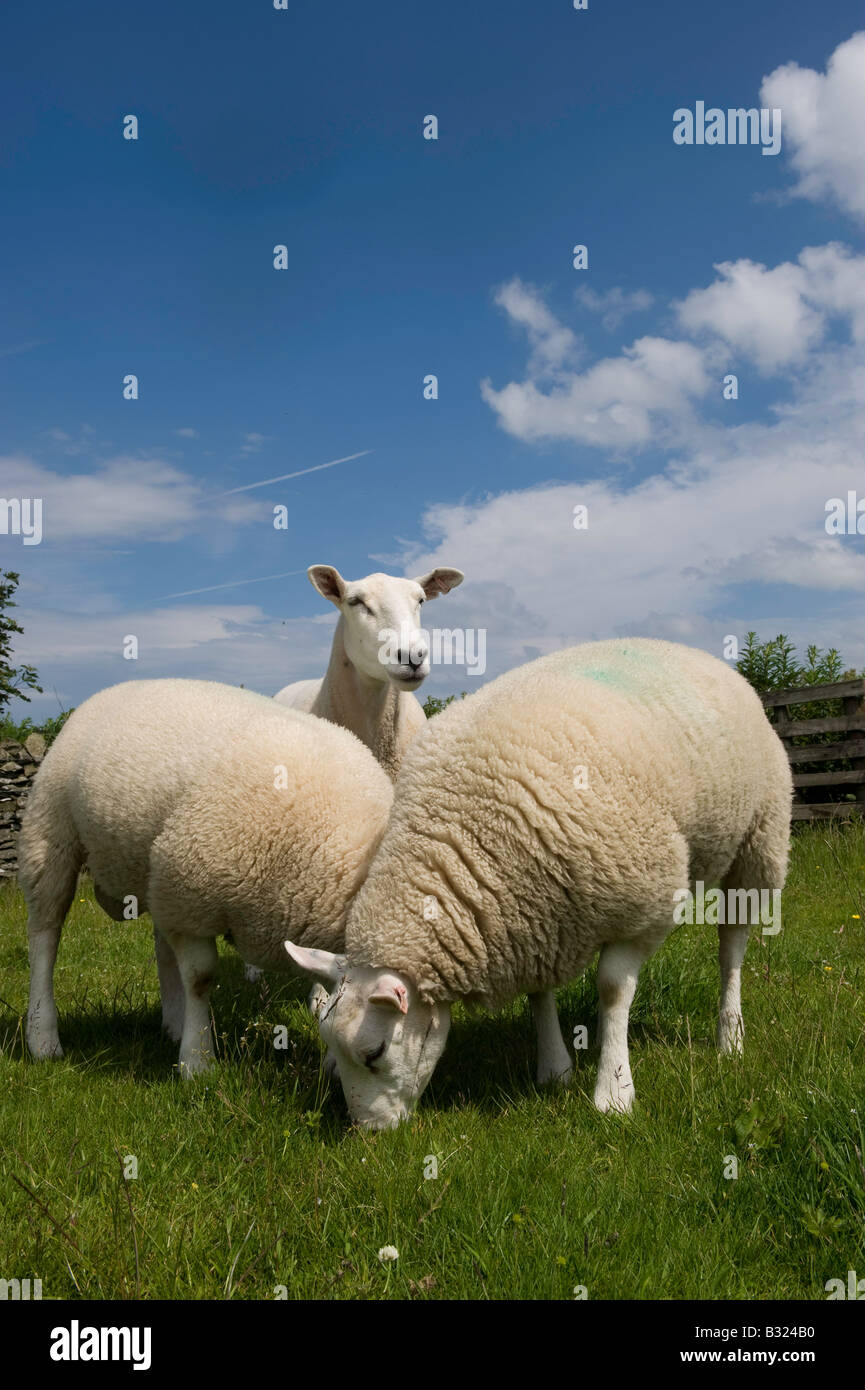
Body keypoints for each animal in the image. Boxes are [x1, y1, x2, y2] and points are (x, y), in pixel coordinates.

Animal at [21, 678, 393, 1075]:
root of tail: (113, 689)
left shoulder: (179, 893)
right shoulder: (189, 898)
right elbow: (200, 977)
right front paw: (198, 1063)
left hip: (157, 872)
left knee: (161, 946)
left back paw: (172, 1023)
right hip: (52, 831)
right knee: (45, 933)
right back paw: (43, 1038)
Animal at [286, 638, 792, 1130]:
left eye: (374, 1053)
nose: (369, 1134)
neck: (467, 842)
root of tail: (704, 657)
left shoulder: (642, 906)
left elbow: (613, 990)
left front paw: (614, 1092)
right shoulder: (532, 914)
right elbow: (539, 993)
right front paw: (554, 1069)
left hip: (759, 840)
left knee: (732, 945)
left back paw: (730, 1034)